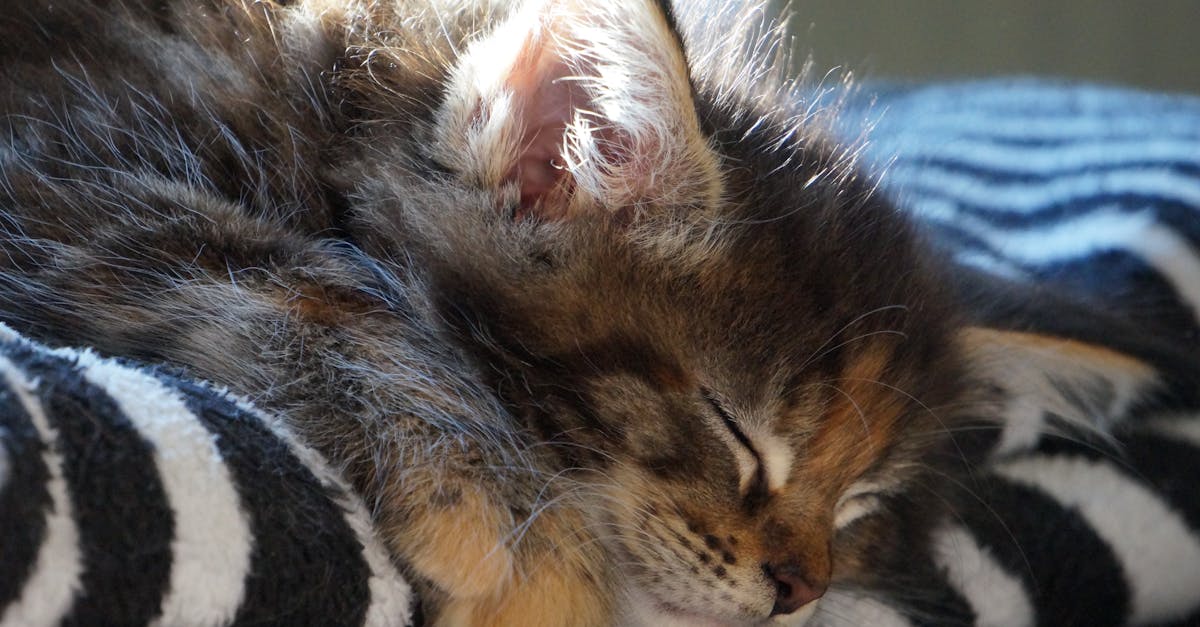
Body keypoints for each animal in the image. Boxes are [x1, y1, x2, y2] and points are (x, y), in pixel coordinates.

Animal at [0, 1, 1152, 624]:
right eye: (737, 433)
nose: (798, 589)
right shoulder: (55, 171)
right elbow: (307, 282)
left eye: (863, 503)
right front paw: (510, 530)